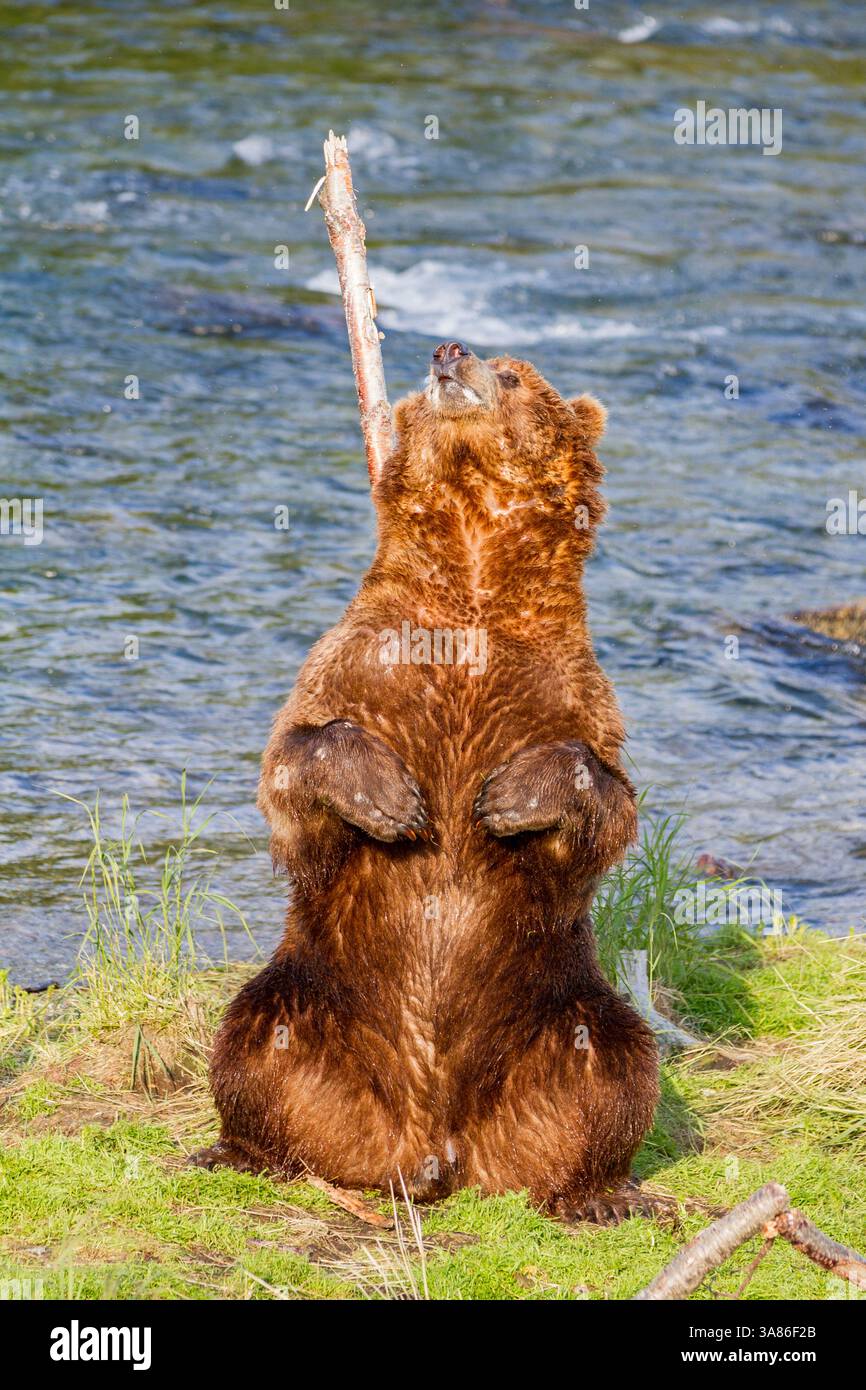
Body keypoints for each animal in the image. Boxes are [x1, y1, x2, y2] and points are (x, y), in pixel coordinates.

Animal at [191, 339, 659, 1219]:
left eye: (514, 375)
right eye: (432, 367)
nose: (451, 352)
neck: (473, 577)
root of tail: (431, 1143)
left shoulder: (570, 689)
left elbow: (609, 798)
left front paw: (510, 797)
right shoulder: (362, 658)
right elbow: (291, 757)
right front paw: (391, 800)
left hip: (559, 1006)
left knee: (616, 1062)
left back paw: (598, 1191)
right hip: (317, 996)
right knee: (251, 1039)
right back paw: (242, 1150)